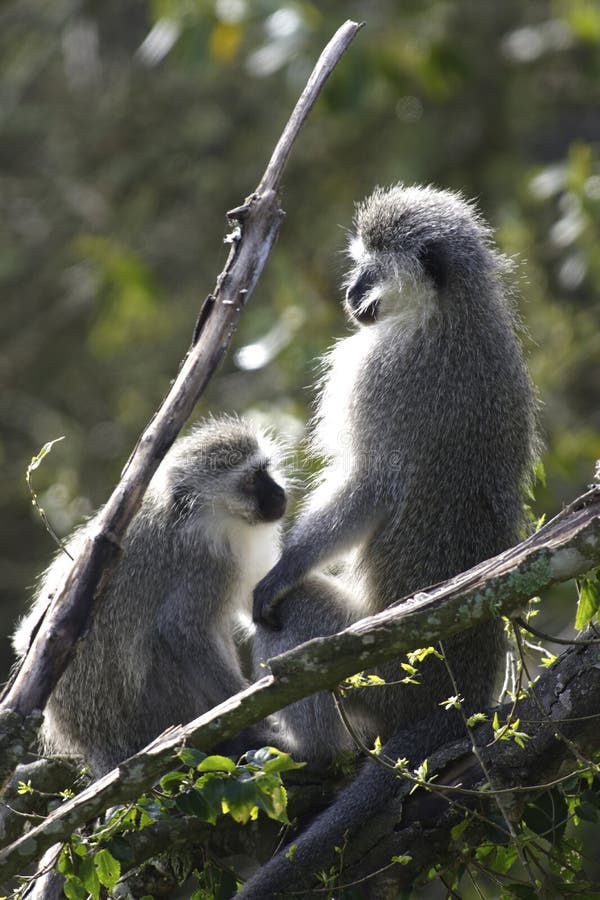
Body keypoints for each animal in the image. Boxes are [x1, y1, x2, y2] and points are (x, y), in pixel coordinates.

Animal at [13, 416, 287, 777]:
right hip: (156, 710)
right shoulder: (206, 565)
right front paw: (258, 714)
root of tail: (97, 743)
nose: (280, 494)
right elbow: (182, 630)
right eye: (253, 480)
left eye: (265, 470)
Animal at [243, 184, 539, 897]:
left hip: (379, 676)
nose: (349, 291)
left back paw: (308, 751)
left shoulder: (377, 369)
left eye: (369, 268)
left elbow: (371, 487)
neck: (449, 307)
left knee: (293, 622)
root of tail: (459, 703)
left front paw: (279, 572)